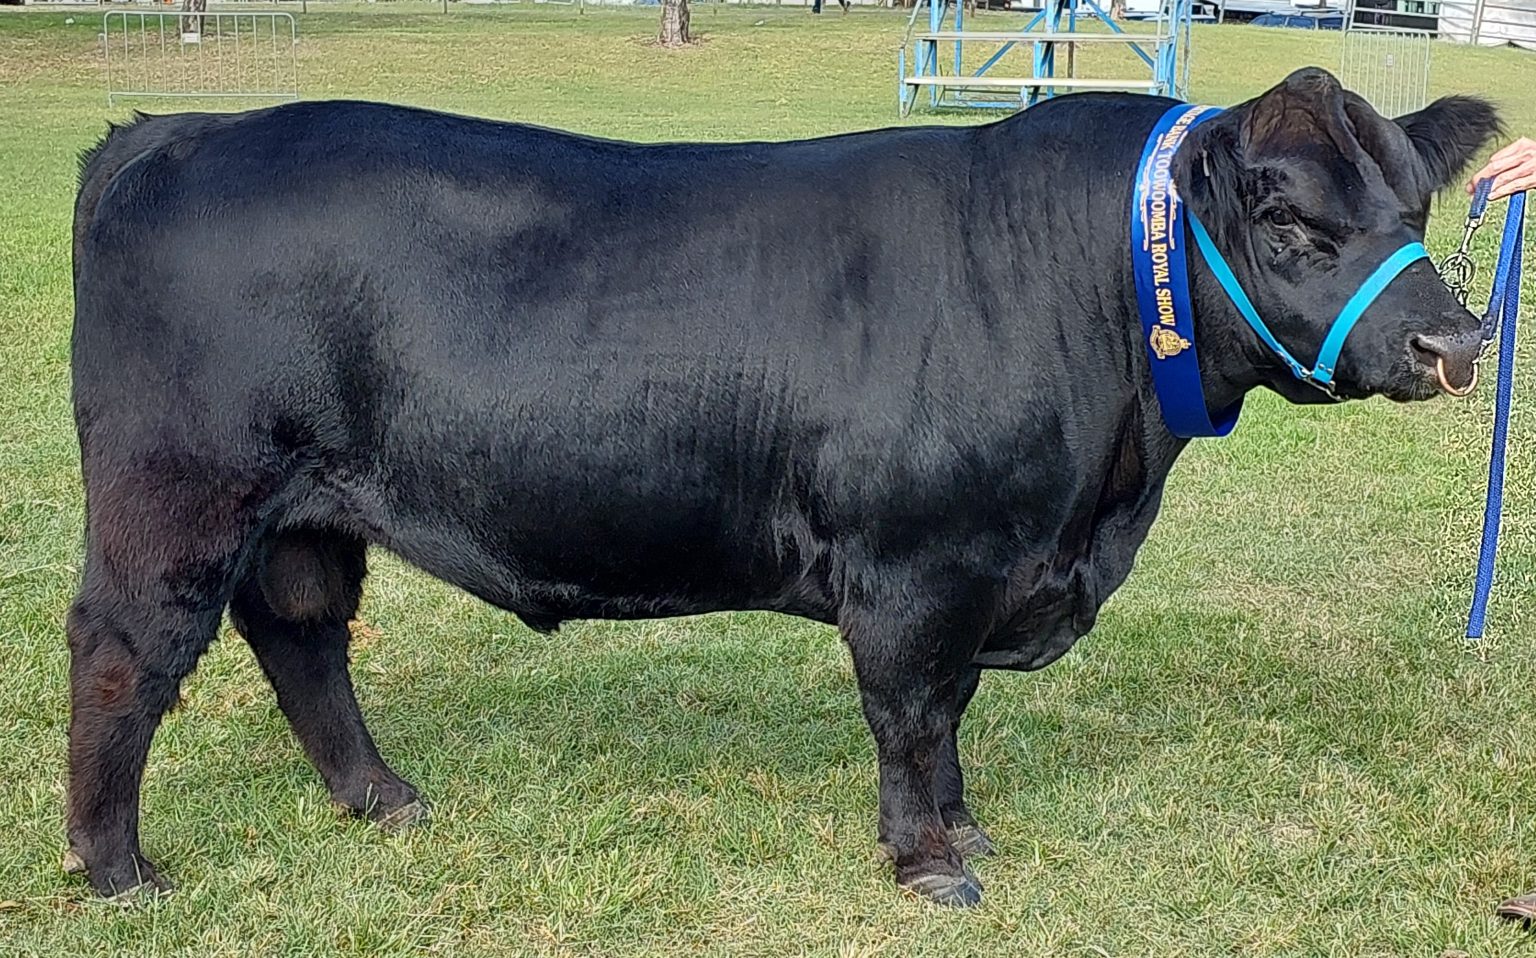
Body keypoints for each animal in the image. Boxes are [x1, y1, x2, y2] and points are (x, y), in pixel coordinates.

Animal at [65, 67, 1499, 907]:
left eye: (1416, 206)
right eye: (1290, 220)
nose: (1457, 340)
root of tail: (177, 132)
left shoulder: (984, 566)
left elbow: (953, 714)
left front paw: (966, 832)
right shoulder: (920, 565)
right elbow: (914, 713)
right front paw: (929, 864)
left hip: (307, 510)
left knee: (302, 634)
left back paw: (382, 799)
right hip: (178, 494)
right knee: (125, 656)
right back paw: (116, 866)